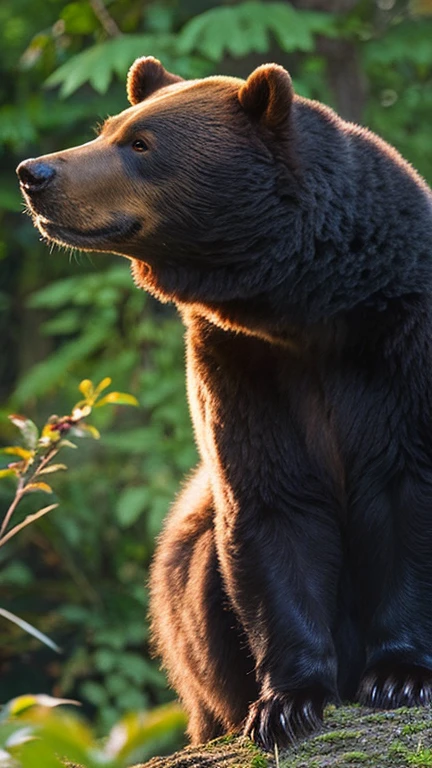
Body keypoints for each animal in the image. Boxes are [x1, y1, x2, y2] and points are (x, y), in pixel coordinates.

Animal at [17, 56, 432, 752]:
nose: (34, 173)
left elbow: (408, 493)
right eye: (109, 128)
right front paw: (288, 703)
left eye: (140, 144)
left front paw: (400, 676)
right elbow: (271, 507)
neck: (311, 309)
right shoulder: (239, 363)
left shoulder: (401, 346)